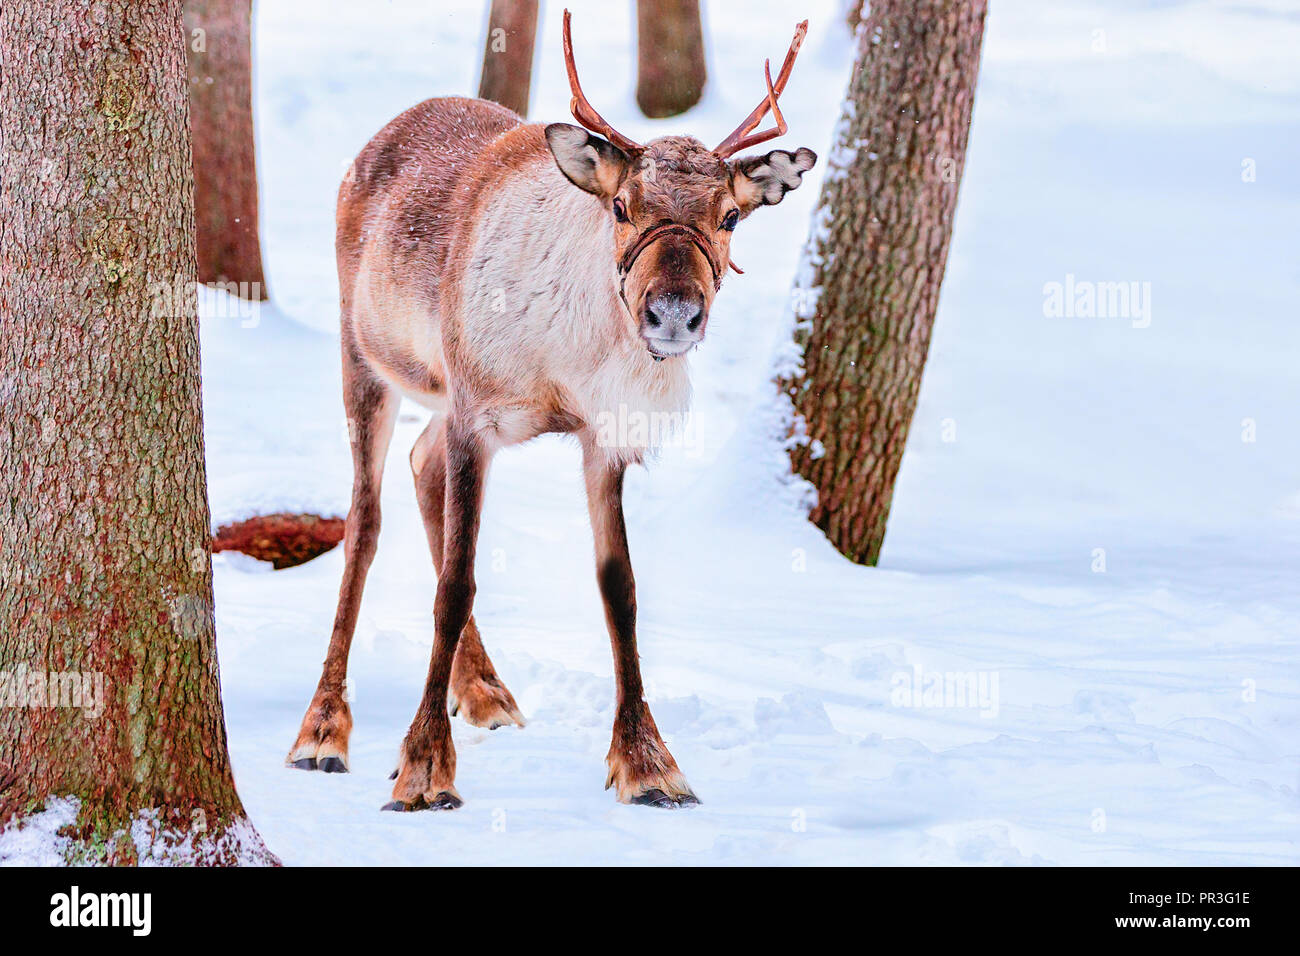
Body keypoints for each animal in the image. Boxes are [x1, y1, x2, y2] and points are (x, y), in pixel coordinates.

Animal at [286, 10, 817, 811]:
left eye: (729, 216)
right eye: (623, 206)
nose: (673, 313)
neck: (569, 361)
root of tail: (380, 137)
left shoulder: (603, 437)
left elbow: (619, 588)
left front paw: (649, 764)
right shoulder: (476, 415)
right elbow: (455, 584)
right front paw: (423, 769)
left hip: (438, 394)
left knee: (420, 462)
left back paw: (485, 691)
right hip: (367, 360)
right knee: (364, 520)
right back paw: (322, 730)